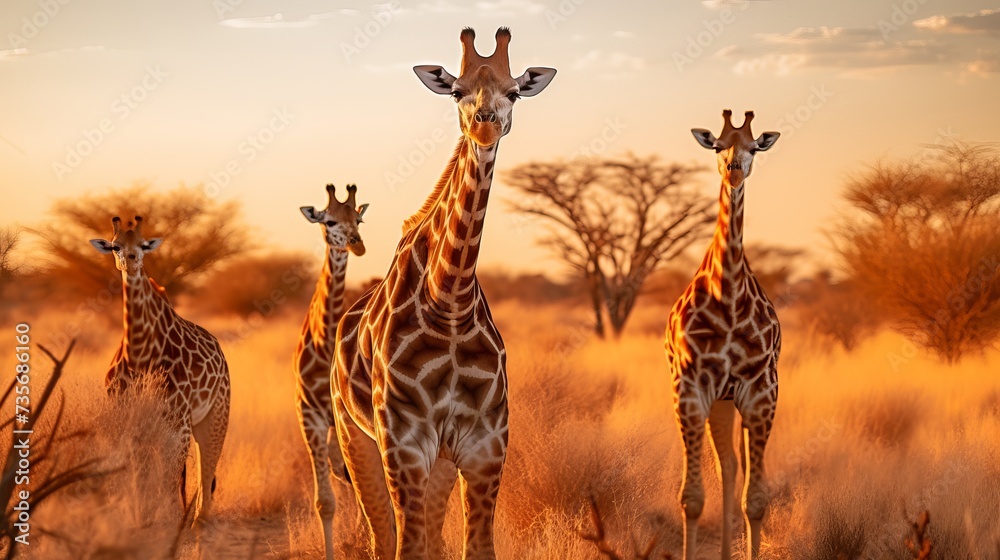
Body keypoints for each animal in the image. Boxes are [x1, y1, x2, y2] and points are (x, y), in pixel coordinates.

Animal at [91, 216, 230, 526]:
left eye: (144, 245)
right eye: (115, 246)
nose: (130, 260)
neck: (139, 354)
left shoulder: (179, 422)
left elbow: (169, 479)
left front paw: (171, 525)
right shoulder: (125, 415)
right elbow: (137, 474)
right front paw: (140, 521)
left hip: (216, 414)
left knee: (206, 470)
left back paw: (199, 521)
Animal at [331, 27, 555, 560]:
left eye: (514, 91)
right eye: (456, 91)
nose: (485, 125)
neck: (448, 301)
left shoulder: (483, 446)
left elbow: (475, 548)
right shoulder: (404, 443)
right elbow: (406, 546)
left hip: (439, 462)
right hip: (354, 437)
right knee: (382, 537)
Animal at [664, 110, 781, 560]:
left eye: (753, 148)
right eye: (717, 145)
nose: (734, 169)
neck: (729, 292)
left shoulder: (761, 392)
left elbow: (757, 499)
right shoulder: (692, 388)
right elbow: (691, 498)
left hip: (734, 400)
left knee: (736, 466)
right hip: (719, 401)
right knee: (727, 465)